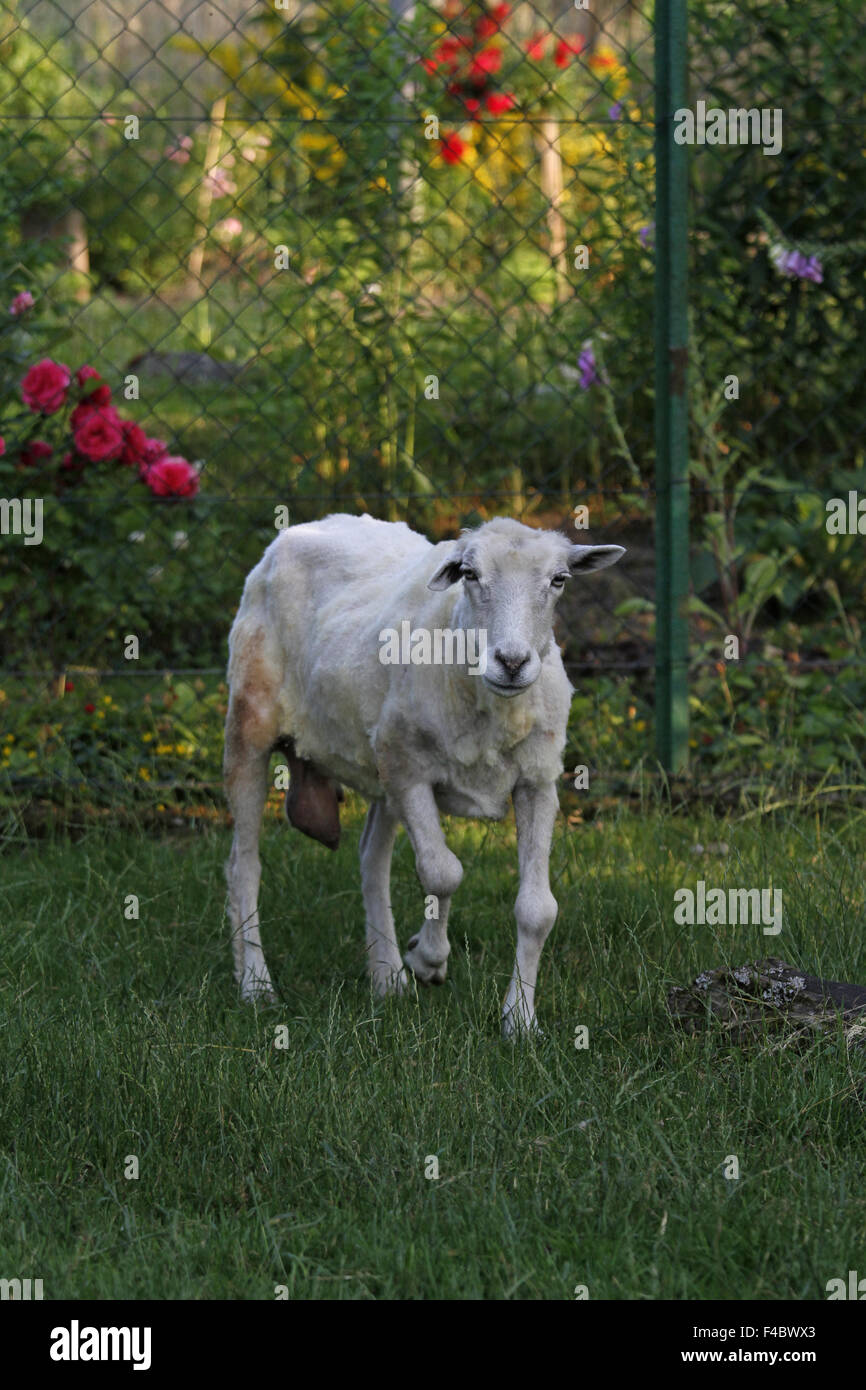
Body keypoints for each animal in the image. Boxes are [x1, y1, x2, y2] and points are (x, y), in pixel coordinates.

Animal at [224, 514, 625, 1036]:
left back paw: (386, 976)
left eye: (559, 580)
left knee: (371, 858)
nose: (512, 662)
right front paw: (428, 960)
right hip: (254, 721)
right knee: (244, 864)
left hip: (379, 756)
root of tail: (307, 526)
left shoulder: (537, 781)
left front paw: (519, 1020)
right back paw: (256, 984)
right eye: (470, 574)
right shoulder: (410, 773)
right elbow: (442, 873)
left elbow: (538, 909)